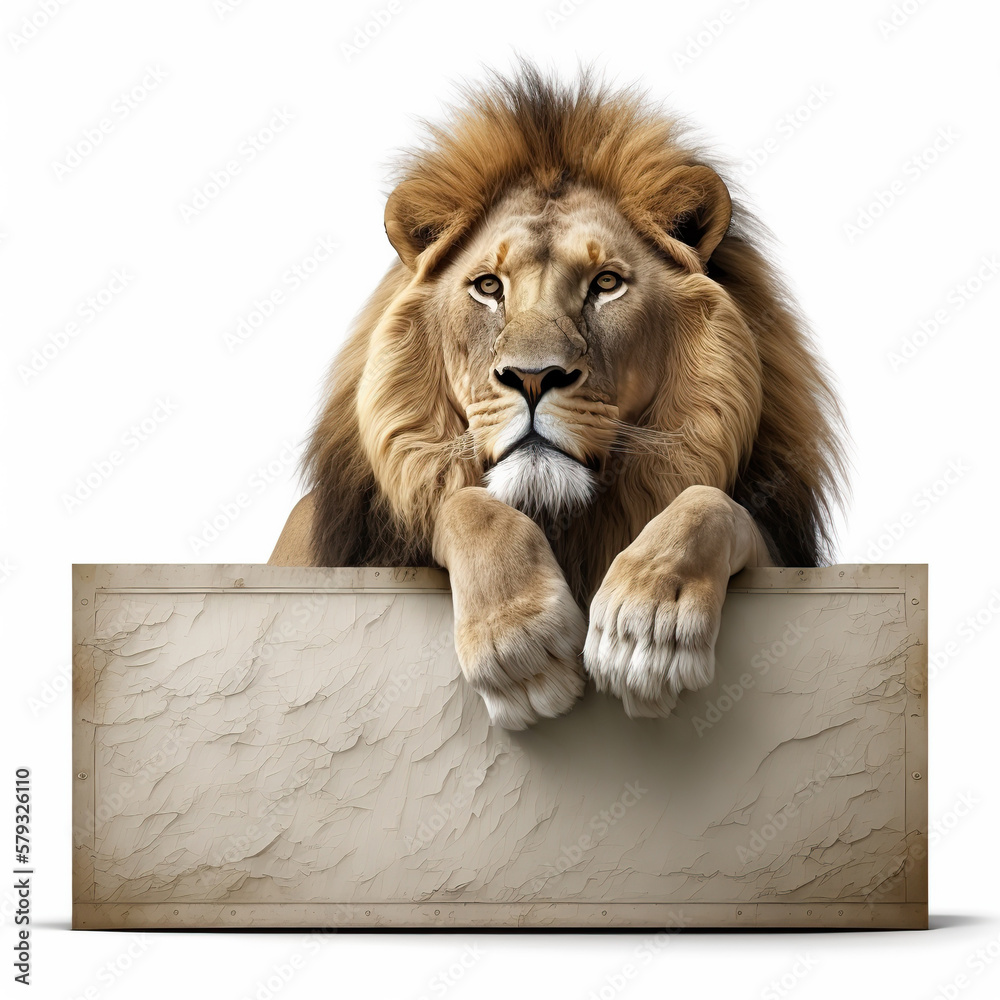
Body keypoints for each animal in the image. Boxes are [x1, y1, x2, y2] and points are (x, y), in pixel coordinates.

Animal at [270, 66, 845, 730]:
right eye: (488, 287)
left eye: (606, 284)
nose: (533, 377)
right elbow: (465, 501)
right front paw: (520, 645)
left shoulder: (783, 551)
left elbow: (708, 502)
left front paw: (645, 629)